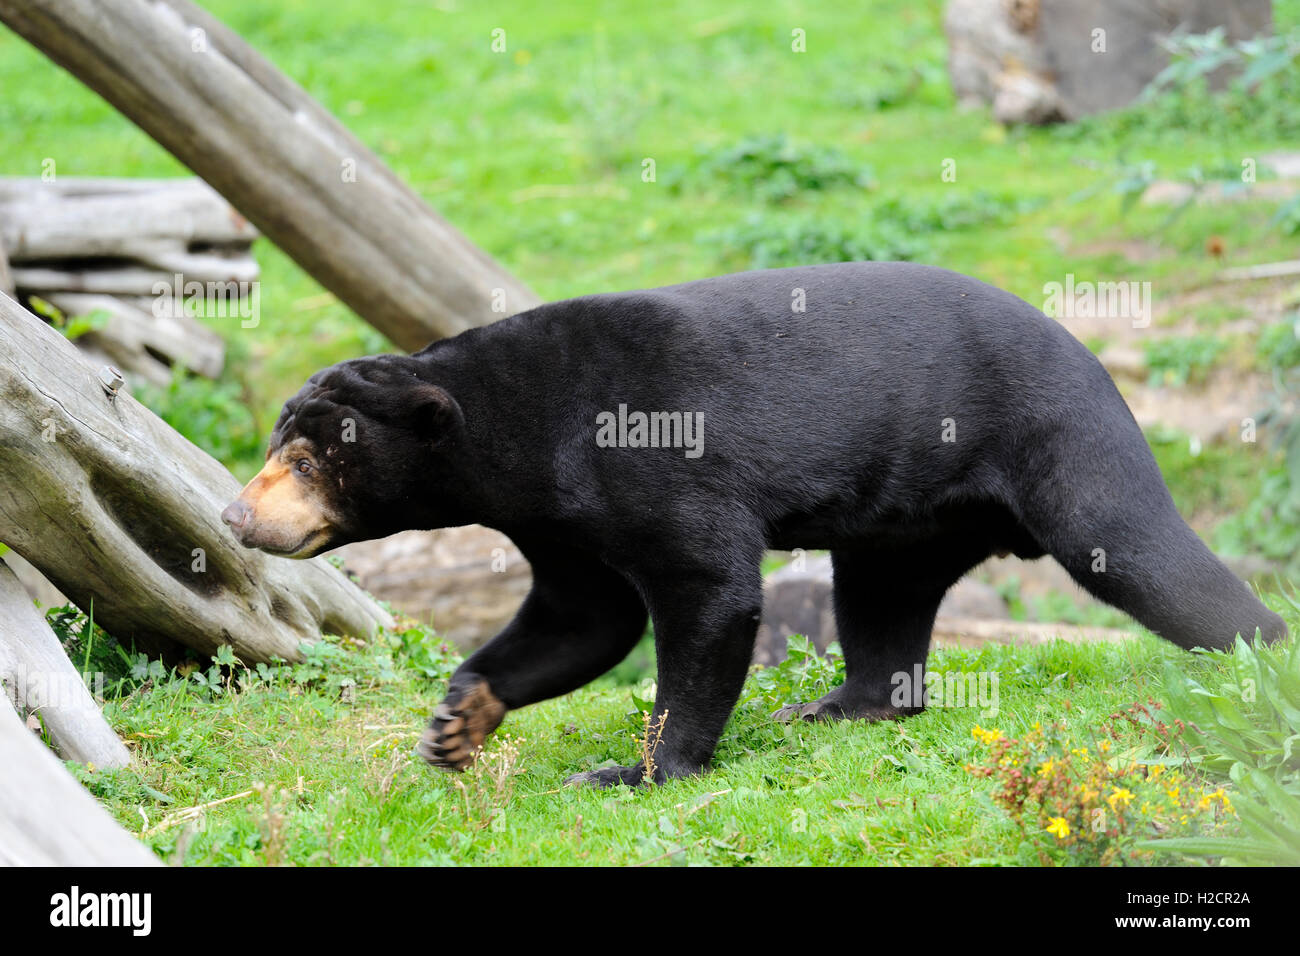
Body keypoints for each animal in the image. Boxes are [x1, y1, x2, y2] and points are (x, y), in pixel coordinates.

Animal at [221, 261, 1287, 787]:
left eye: (307, 462)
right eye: (275, 446)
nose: (235, 514)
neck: (520, 433)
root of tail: (1088, 351)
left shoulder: (647, 457)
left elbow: (706, 588)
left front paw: (639, 768)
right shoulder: (559, 520)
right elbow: (582, 619)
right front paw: (455, 728)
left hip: (1055, 436)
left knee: (1137, 550)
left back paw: (1262, 652)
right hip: (907, 513)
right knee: (881, 596)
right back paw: (841, 703)